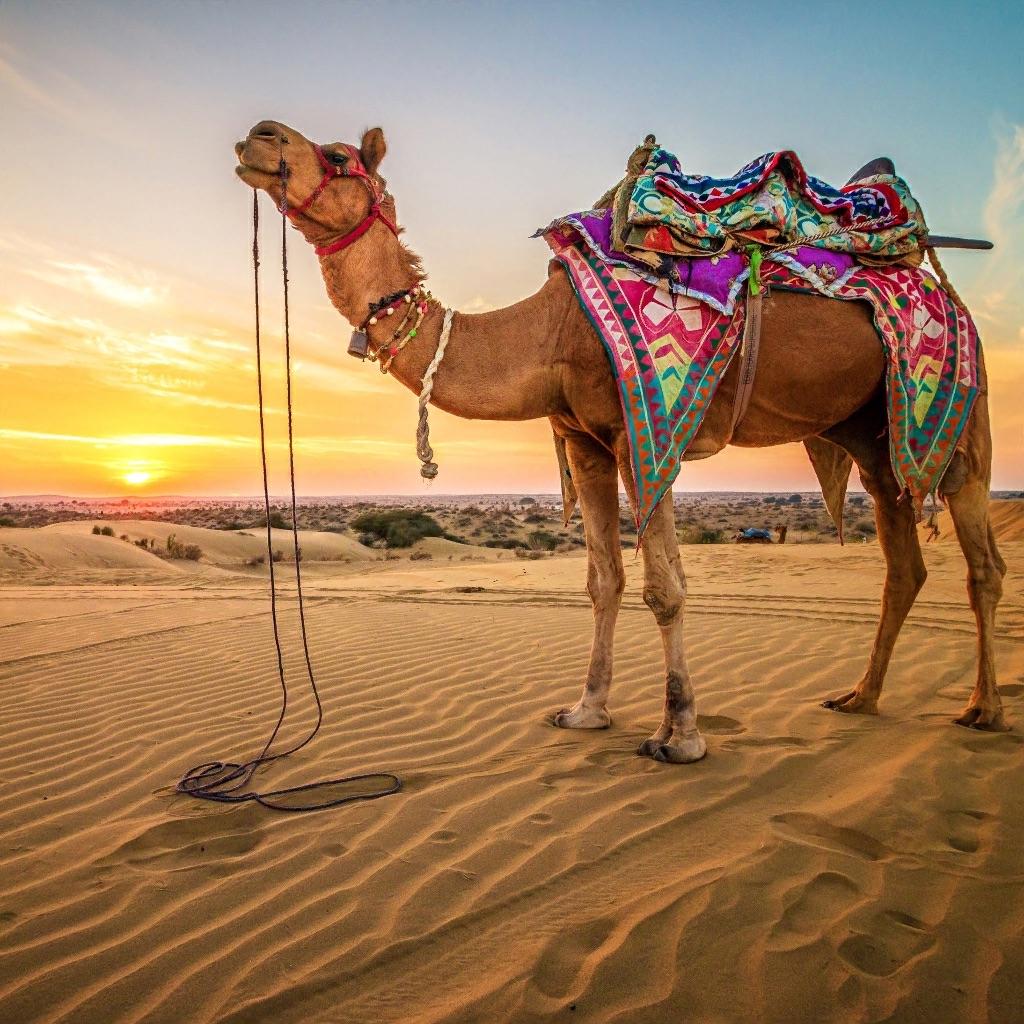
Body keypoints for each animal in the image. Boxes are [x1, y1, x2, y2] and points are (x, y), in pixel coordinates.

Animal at [234, 120, 1009, 763]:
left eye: (337, 156)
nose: (258, 136)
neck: (546, 331)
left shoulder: (647, 431)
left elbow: (665, 586)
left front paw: (679, 734)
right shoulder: (585, 442)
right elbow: (603, 579)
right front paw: (586, 710)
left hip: (961, 412)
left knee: (981, 560)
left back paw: (983, 709)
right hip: (870, 433)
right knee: (902, 558)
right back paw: (861, 697)